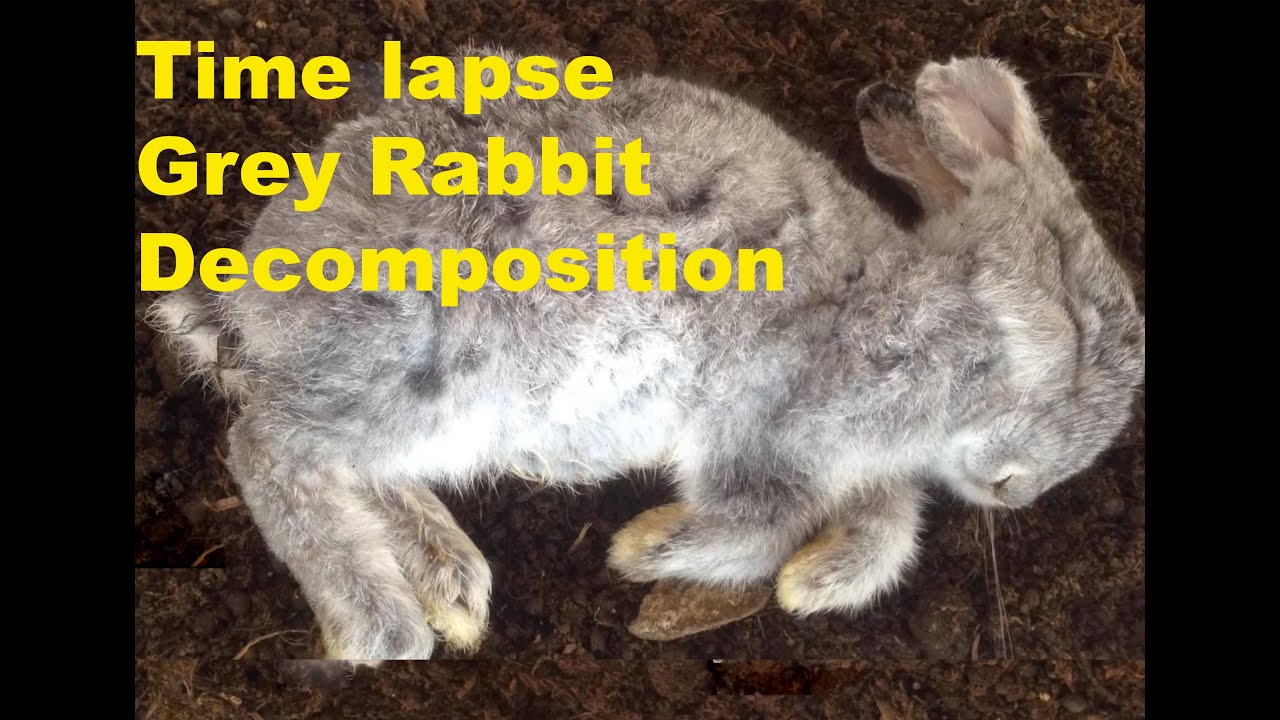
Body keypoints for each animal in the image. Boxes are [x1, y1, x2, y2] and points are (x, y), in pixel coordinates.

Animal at [147, 47, 1145, 660]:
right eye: (1085, 333)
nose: (1016, 489)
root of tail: (254, 303)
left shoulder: (848, 464)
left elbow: (884, 523)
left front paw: (811, 587)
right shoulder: (769, 427)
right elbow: (759, 523)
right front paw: (645, 550)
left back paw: (446, 579)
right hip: (435, 365)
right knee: (271, 447)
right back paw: (378, 621)